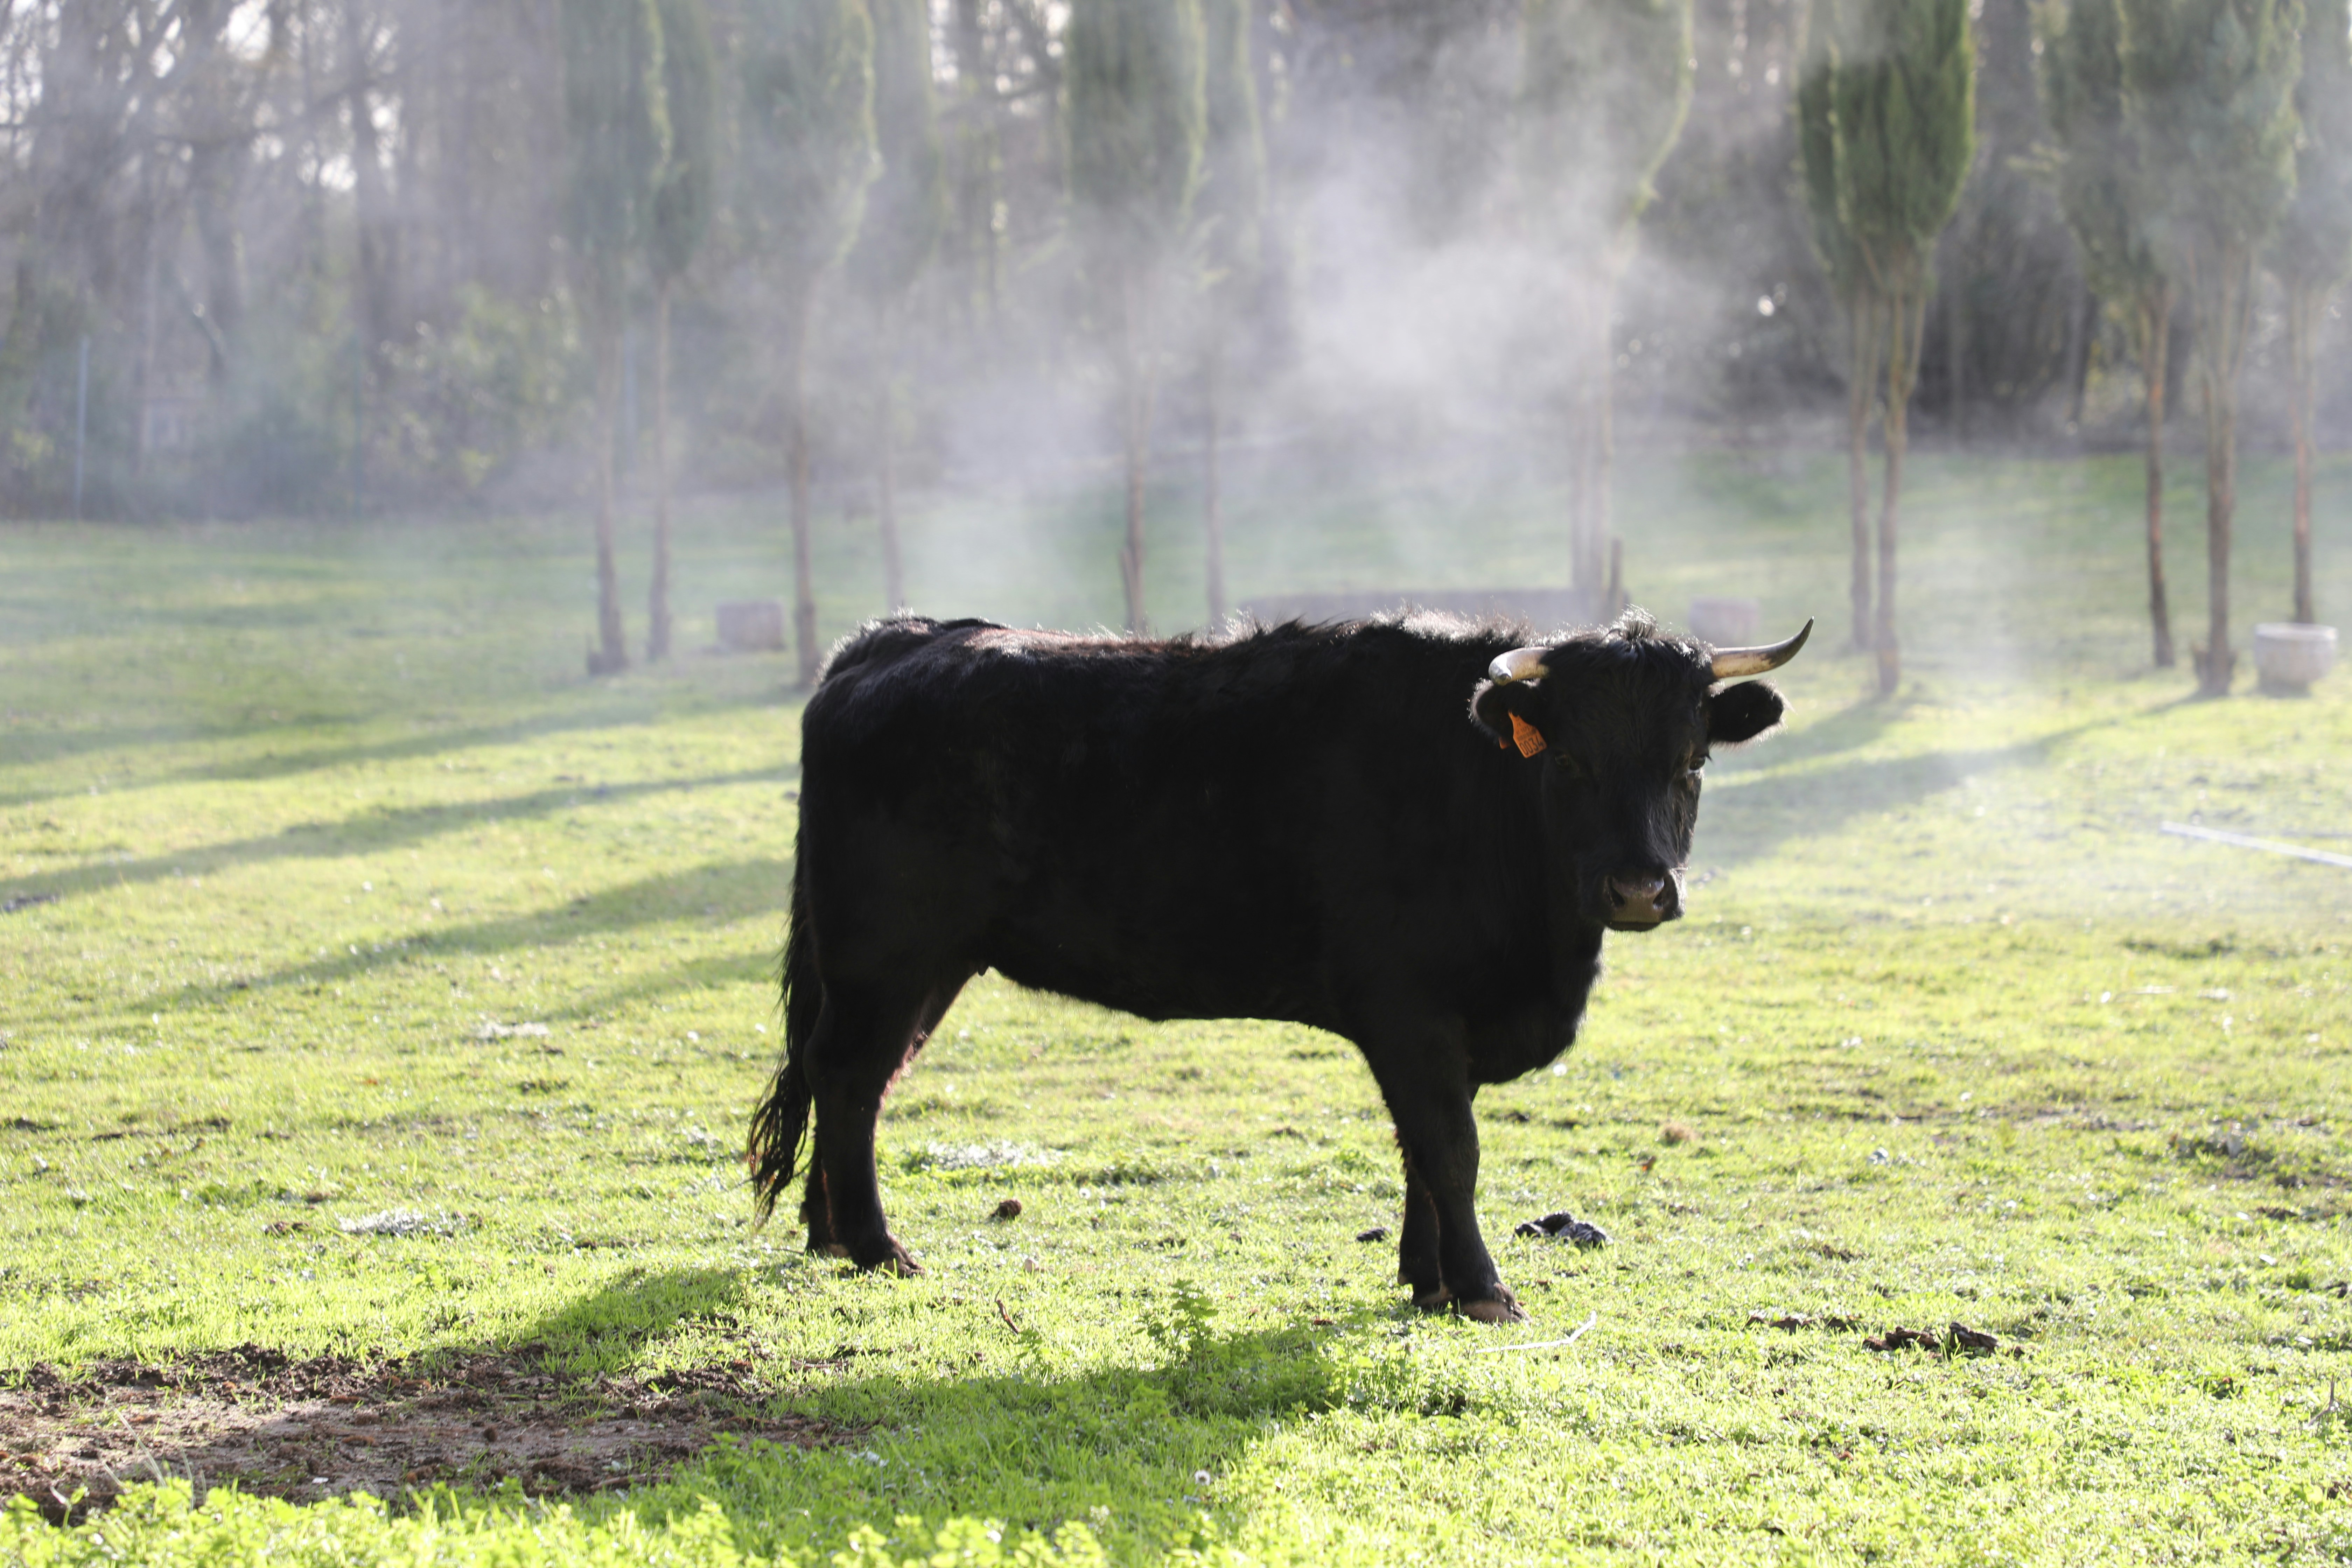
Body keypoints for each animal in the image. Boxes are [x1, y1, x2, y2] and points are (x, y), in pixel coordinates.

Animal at [748, 606, 1809, 1322]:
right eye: (1571, 763)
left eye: (1690, 764)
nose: (1638, 890)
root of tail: (901, 639)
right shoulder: (1411, 1012)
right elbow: (1451, 1150)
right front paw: (1480, 1289)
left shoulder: (1439, 1030)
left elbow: (1421, 1154)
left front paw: (1426, 1280)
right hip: (885, 955)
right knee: (848, 1078)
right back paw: (876, 1246)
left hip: (923, 967)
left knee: (854, 1081)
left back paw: (828, 1232)